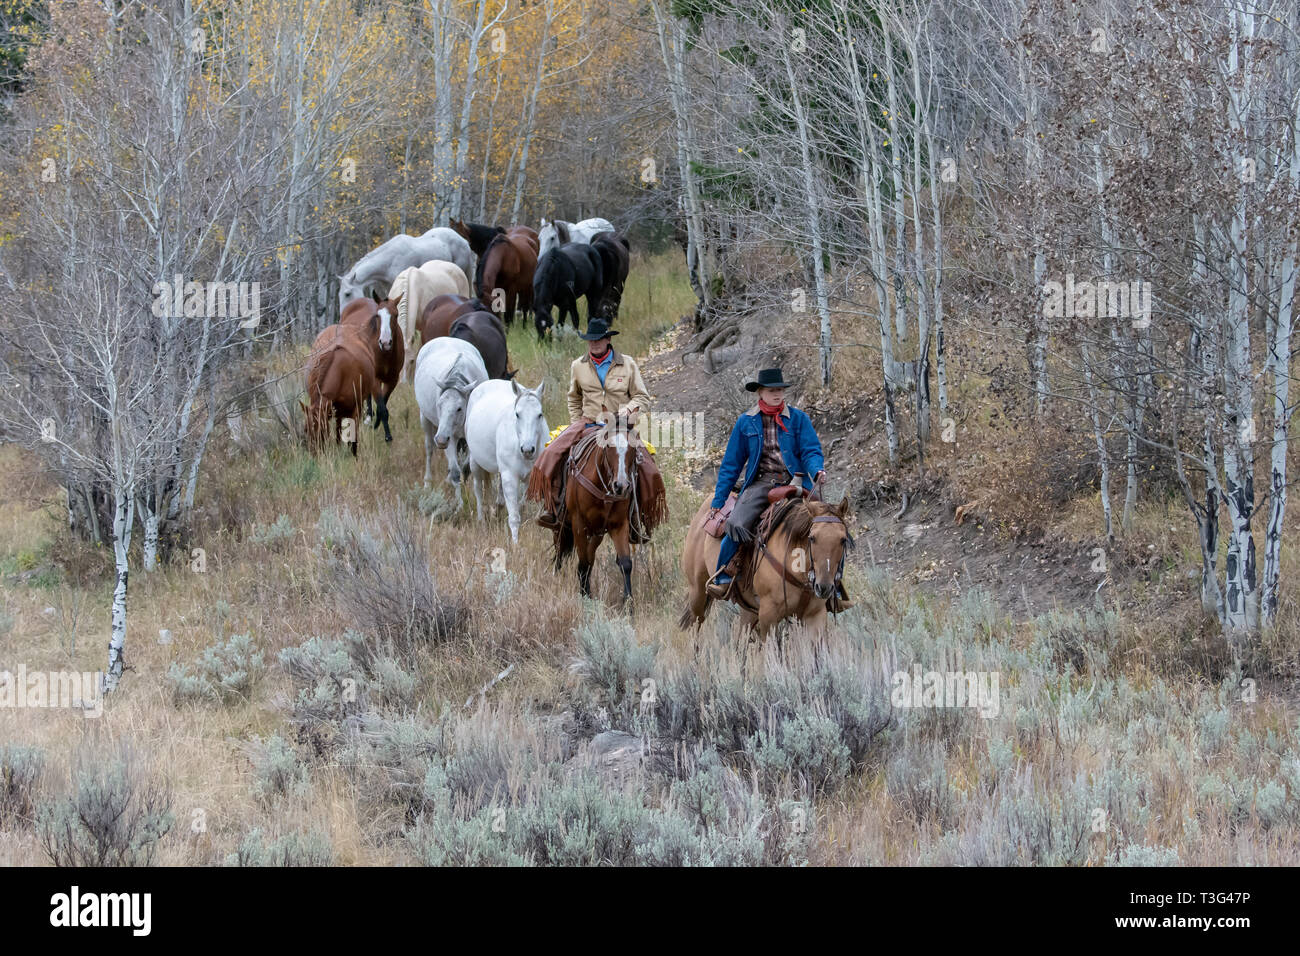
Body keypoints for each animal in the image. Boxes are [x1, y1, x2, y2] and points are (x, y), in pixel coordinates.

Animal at [303, 321, 381, 457]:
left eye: (321, 430)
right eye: (306, 430)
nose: (314, 455)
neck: (340, 371)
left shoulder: (355, 409)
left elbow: (353, 437)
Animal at [340, 296, 403, 441]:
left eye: (396, 315)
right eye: (377, 315)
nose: (385, 342)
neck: (385, 353)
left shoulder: (392, 380)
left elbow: (383, 403)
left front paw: (377, 424)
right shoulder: (375, 379)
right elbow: (381, 406)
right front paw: (388, 437)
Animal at [413, 337, 489, 490]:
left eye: (459, 408)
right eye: (439, 405)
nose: (441, 440)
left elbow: (466, 467)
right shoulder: (449, 436)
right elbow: (455, 471)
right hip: (425, 419)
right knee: (429, 448)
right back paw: (427, 482)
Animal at [465, 378, 548, 543]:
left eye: (540, 414)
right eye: (517, 414)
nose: (527, 449)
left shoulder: (531, 478)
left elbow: (521, 504)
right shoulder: (510, 476)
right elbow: (514, 516)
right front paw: (515, 544)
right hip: (475, 462)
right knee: (478, 489)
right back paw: (482, 521)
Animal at [679, 495, 853, 639]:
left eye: (843, 540)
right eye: (812, 538)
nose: (824, 587)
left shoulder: (815, 616)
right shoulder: (769, 616)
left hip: (749, 609)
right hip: (697, 591)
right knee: (696, 624)